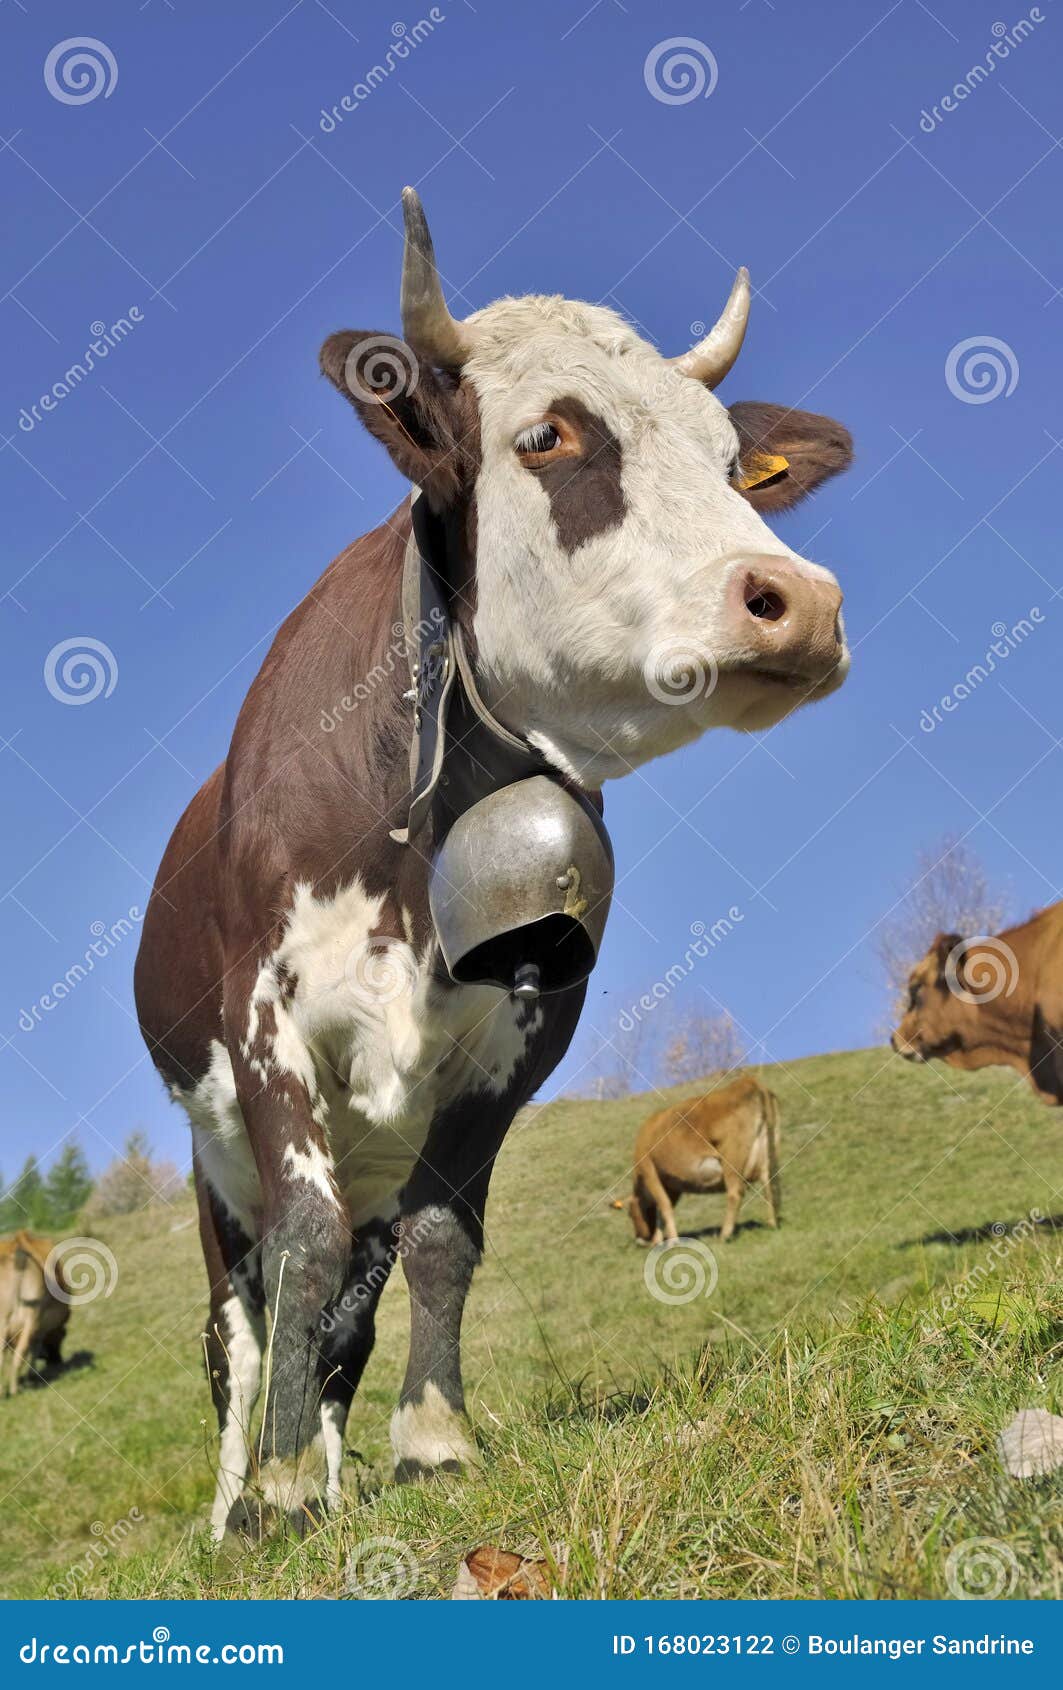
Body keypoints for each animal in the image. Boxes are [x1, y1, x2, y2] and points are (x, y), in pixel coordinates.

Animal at [0, 1232, 69, 1396]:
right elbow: (34, 1347)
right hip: (31, 1319)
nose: (57, 1360)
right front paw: (32, 1376)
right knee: (21, 1354)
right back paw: (15, 1390)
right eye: (62, 1336)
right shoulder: (41, 1327)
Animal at [628, 1074, 781, 1245]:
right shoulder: (671, 1183)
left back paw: (724, 1235)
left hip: (731, 1158)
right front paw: (659, 1240)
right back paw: (772, 1224)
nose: (640, 1239)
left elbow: (664, 1206)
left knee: (735, 1192)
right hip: (768, 1153)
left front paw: (672, 1241)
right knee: (769, 1185)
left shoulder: (648, 1170)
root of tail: (748, 1082)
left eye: (630, 1213)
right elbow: (663, 1210)